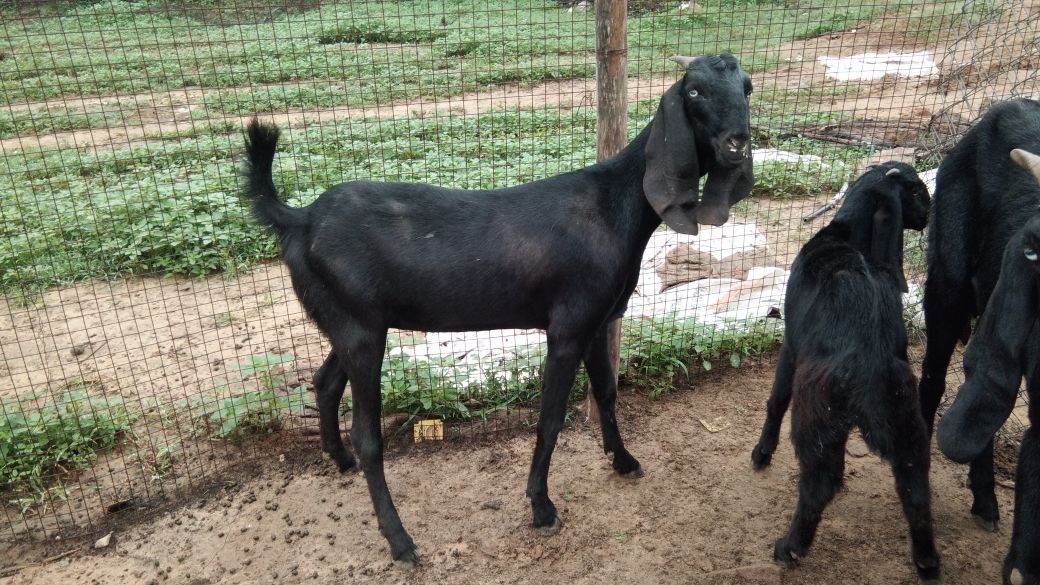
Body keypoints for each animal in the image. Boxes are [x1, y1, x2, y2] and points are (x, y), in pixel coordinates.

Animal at [241, 54, 754, 568]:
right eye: (694, 92)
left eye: (747, 87)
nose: (737, 143)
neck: (614, 205)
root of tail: (302, 219)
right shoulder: (568, 327)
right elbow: (551, 417)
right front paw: (542, 507)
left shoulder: (596, 321)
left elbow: (607, 392)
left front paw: (623, 460)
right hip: (360, 329)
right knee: (368, 436)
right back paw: (399, 539)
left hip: (349, 321)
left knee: (325, 381)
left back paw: (340, 459)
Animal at [749, 162, 939, 581]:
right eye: (918, 192)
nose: (929, 214)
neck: (850, 233)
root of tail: (869, 357)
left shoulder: (790, 345)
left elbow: (775, 400)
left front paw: (762, 454)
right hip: (906, 418)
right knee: (916, 491)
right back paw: (927, 562)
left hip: (814, 415)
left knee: (818, 485)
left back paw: (790, 548)